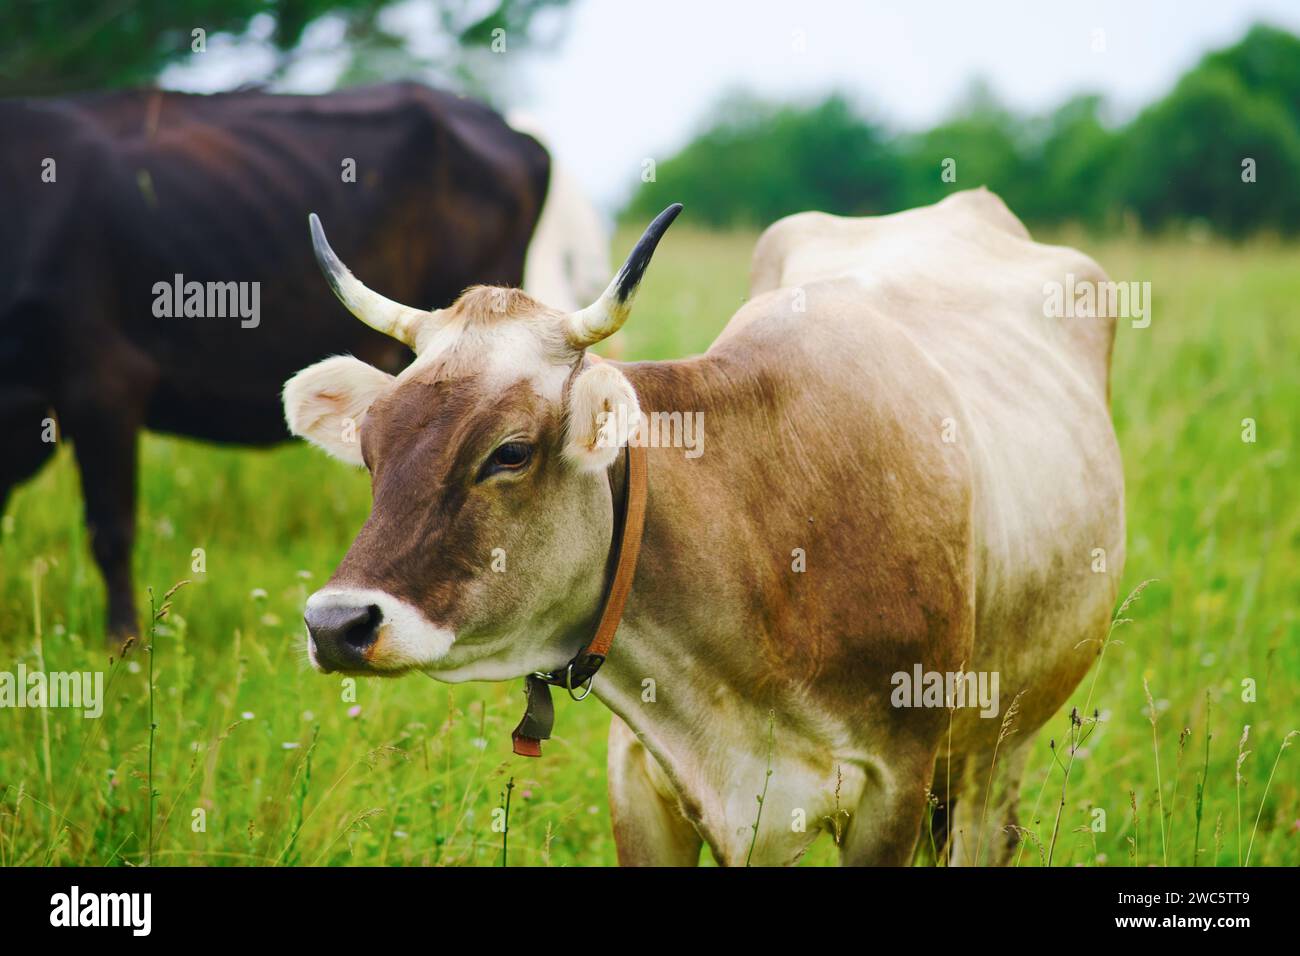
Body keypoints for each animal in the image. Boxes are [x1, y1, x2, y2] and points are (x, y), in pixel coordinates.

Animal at [283, 188, 1125, 866]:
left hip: (997, 752)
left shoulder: (896, 783)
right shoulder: (641, 782)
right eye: (371, 448)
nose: (336, 624)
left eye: (510, 452)